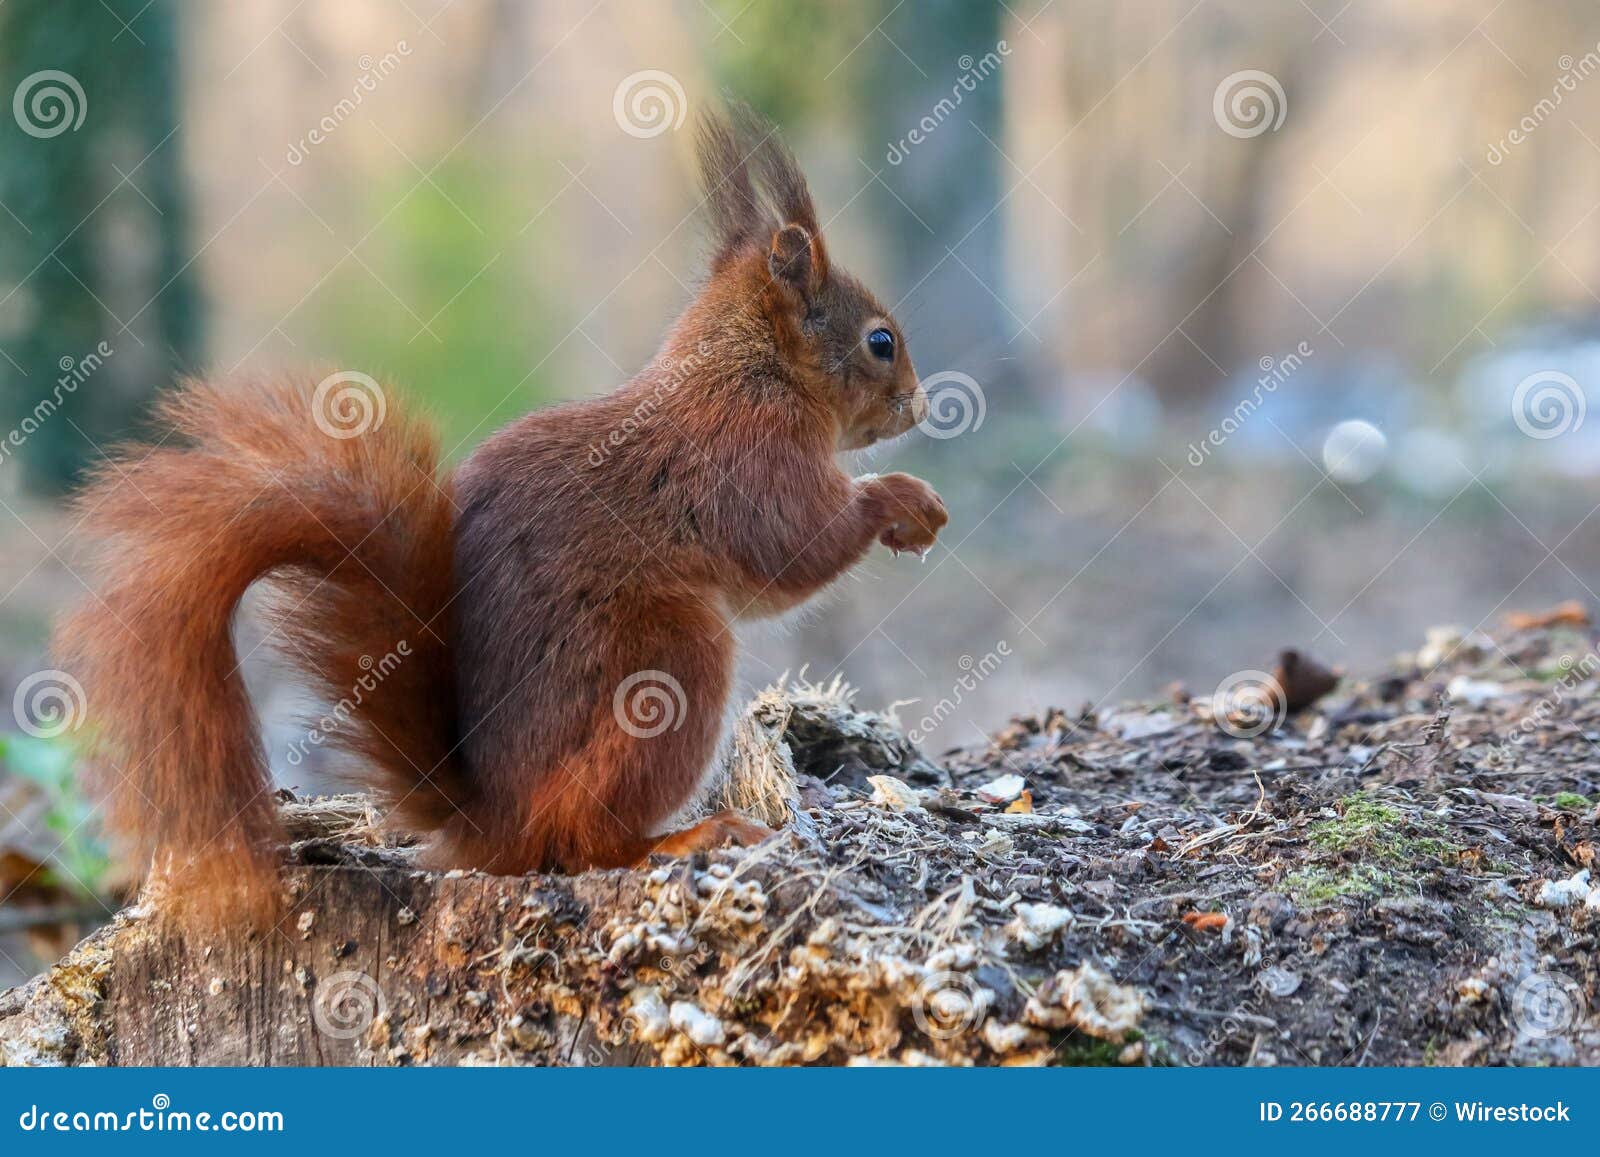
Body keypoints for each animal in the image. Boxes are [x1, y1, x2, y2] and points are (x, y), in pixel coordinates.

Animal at [54, 108, 948, 925]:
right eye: (880, 342)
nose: (918, 404)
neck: (749, 367)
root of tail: (488, 822)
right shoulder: (750, 459)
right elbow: (792, 553)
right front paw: (902, 502)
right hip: (667, 664)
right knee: (582, 842)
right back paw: (686, 836)